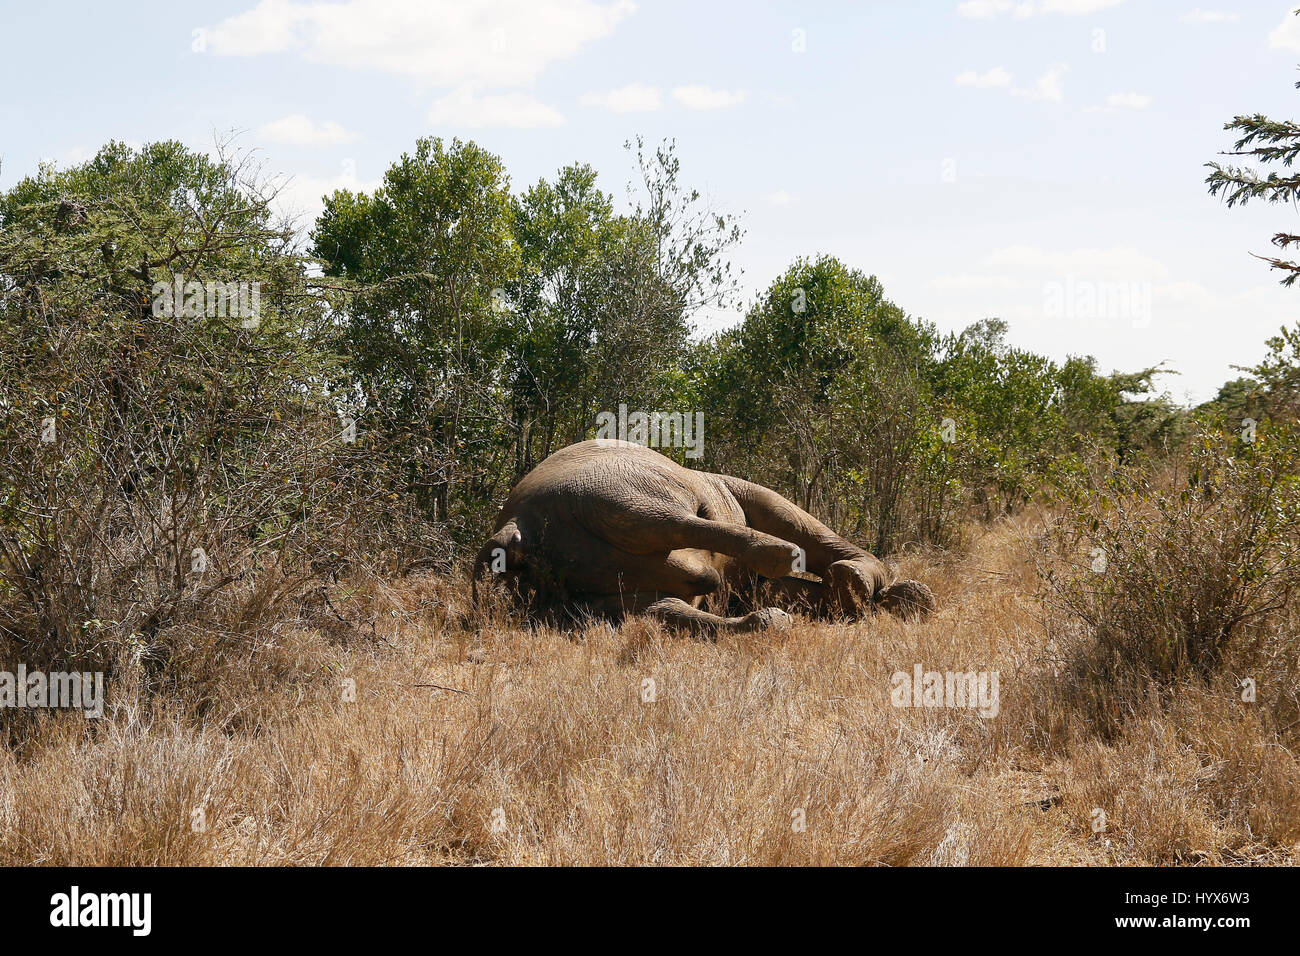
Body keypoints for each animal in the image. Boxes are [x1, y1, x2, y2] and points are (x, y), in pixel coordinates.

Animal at [472, 439, 935, 634]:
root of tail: (516, 524)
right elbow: (663, 611)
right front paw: (768, 622)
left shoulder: (614, 491)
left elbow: (681, 522)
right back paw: (882, 597)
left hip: (620, 491)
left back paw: (873, 586)